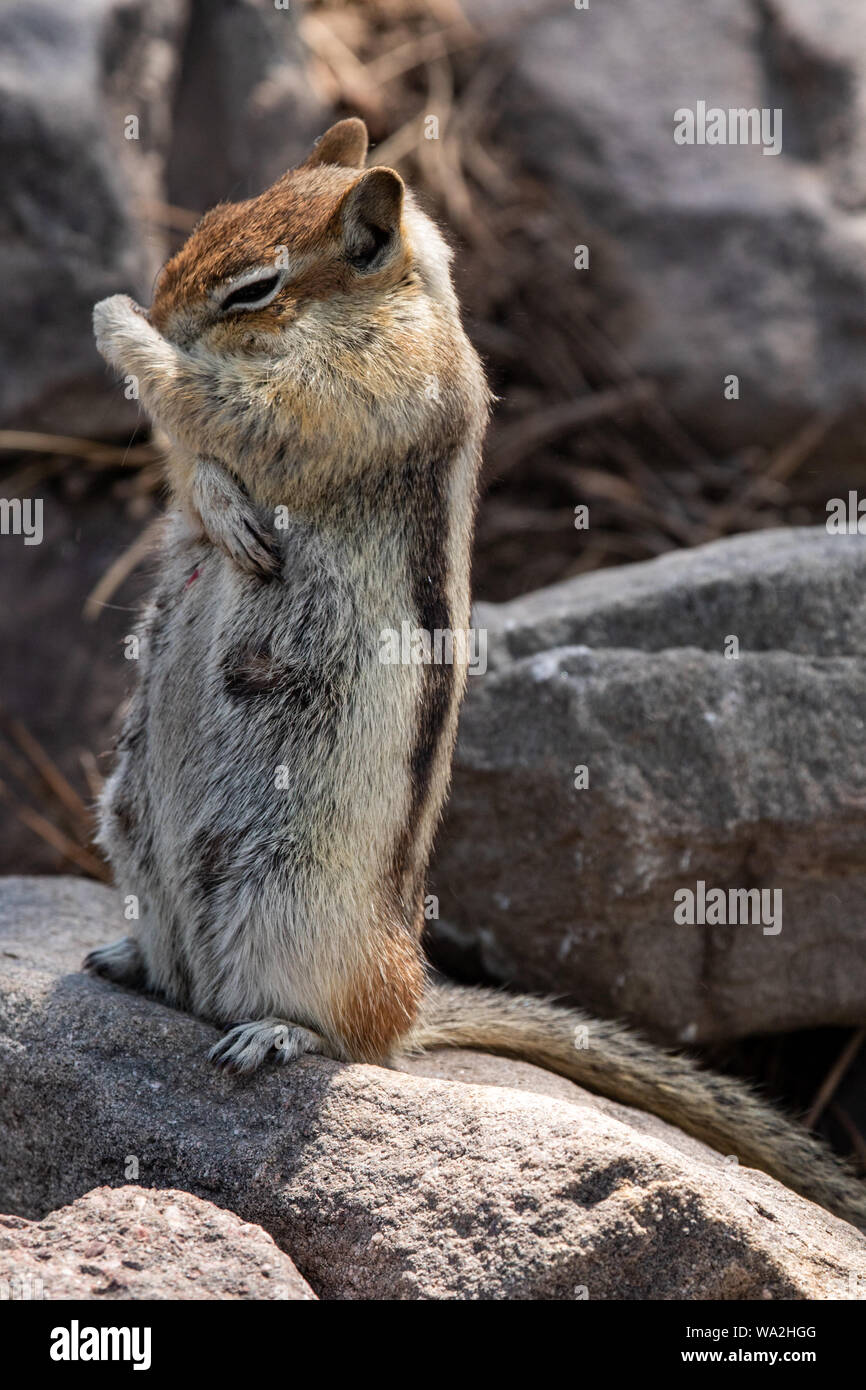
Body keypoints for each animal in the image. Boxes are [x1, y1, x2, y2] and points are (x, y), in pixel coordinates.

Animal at [86, 118, 866, 1232]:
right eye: (205, 221)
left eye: (253, 289)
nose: (158, 307)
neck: (388, 308)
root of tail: (414, 991)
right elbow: (195, 474)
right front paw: (215, 498)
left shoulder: (341, 399)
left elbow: (232, 409)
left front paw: (123, 331)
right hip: (129, 825)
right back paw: (134, 961)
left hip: (291, 898)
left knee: (354, 1040)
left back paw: (275, 1031)